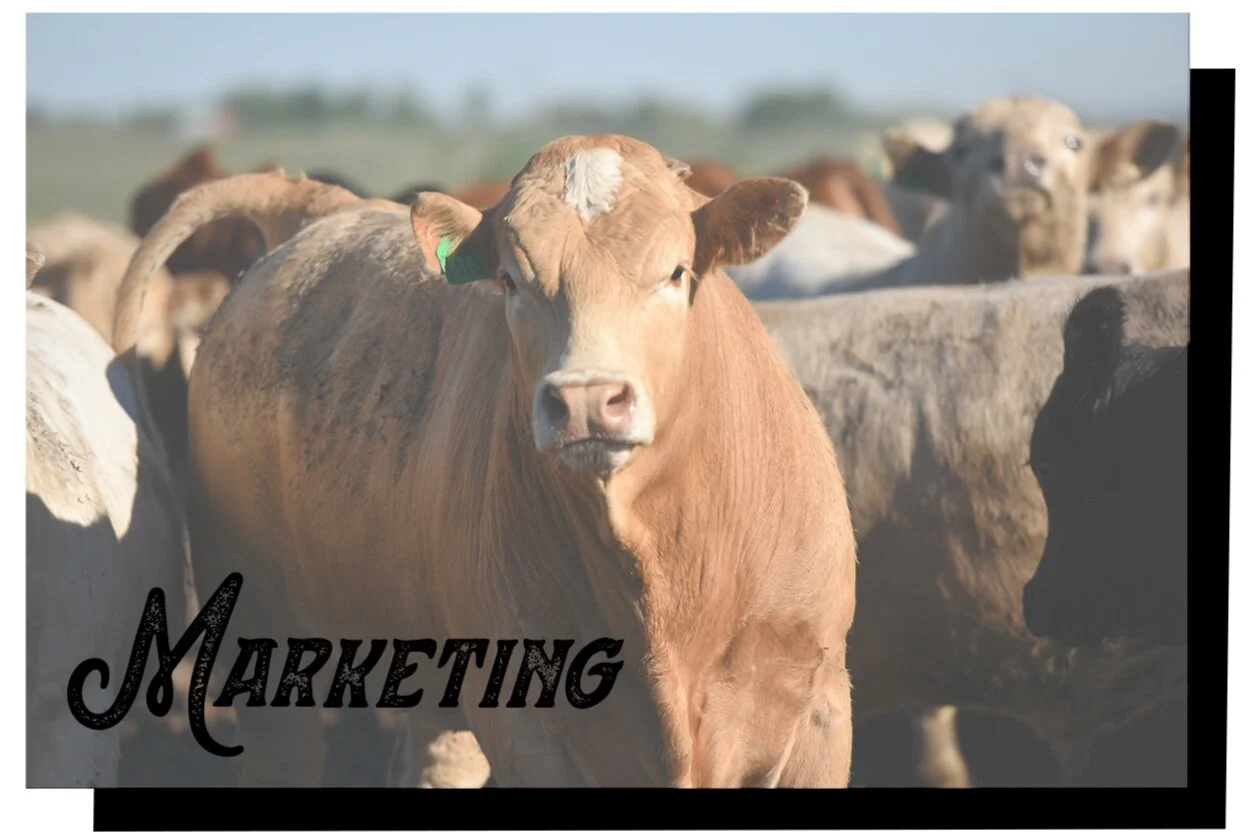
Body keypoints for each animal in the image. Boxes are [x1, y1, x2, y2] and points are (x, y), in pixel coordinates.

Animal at [112, 136, 859, 788]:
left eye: (676, 272)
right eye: (510, 281)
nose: (587, 399)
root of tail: (318, 210)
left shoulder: (819, 710)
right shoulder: (534, 733)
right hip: (261, 625)